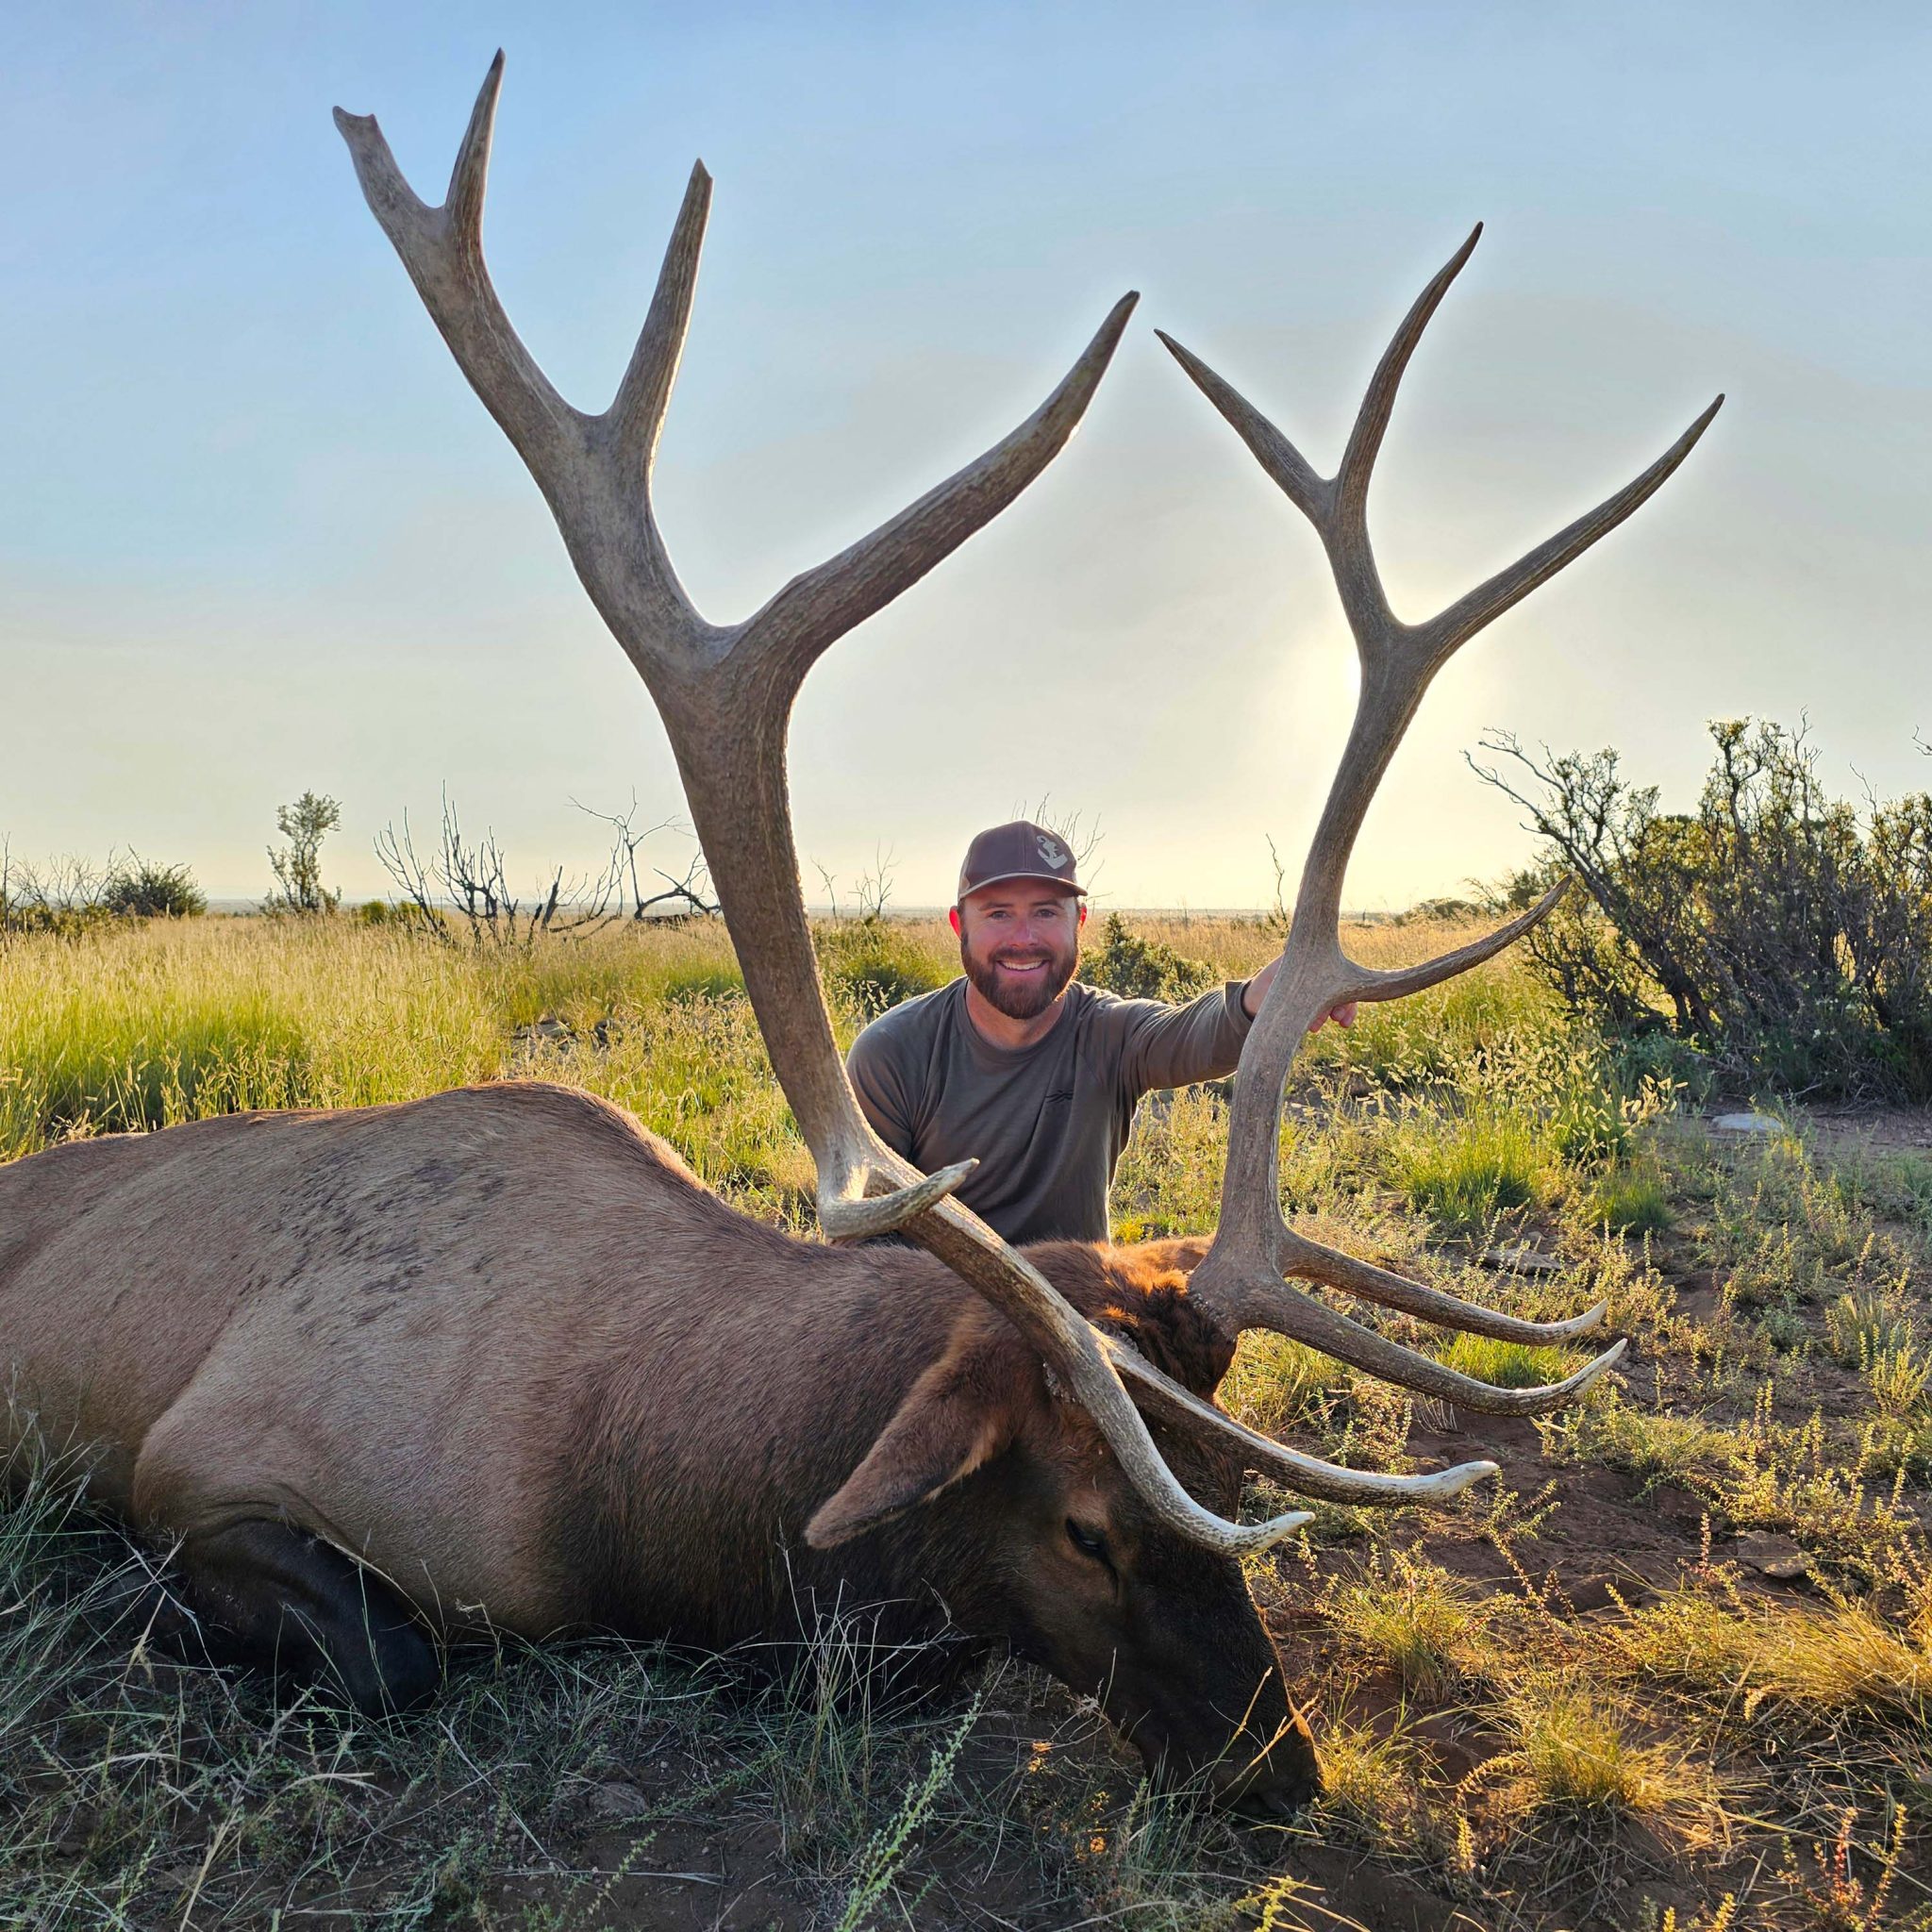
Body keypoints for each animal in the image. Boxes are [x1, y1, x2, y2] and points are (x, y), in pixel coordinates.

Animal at [0, 55, 1719, 1816]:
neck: (633, 1500)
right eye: (1087, 1527)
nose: (1280, 1765)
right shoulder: (210, 1459)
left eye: (1224, 1489)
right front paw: (162, 1619)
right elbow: (385, 1648)